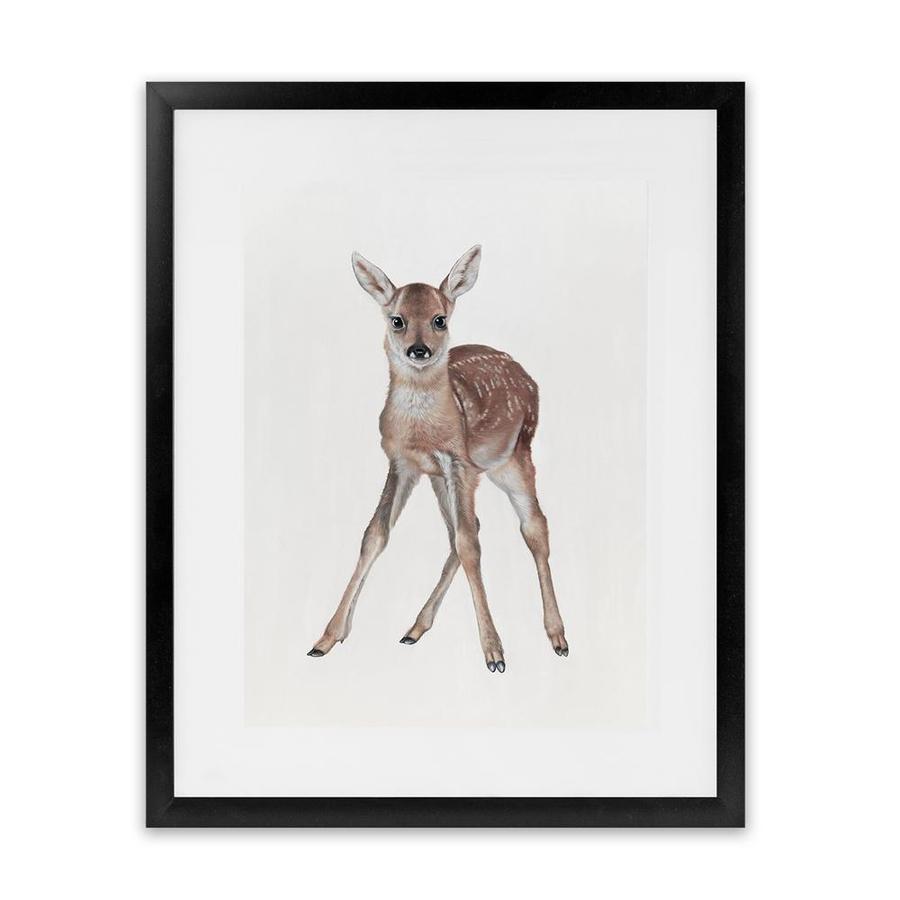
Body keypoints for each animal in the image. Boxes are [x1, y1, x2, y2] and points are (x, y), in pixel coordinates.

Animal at [307, 246, 568, 673]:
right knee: (464, 530)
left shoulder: (458, 462)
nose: (419, 350)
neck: (424, 429)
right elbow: (375, 535)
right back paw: (414, 628)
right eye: (397, 320)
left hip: (514, 457)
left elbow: (470, 545)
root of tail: (527, 377)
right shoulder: (403, 463)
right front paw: (327, 638)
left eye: (439, 319)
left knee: (533, 527)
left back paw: (557, 636)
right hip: (442, 479)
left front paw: (494, 653)